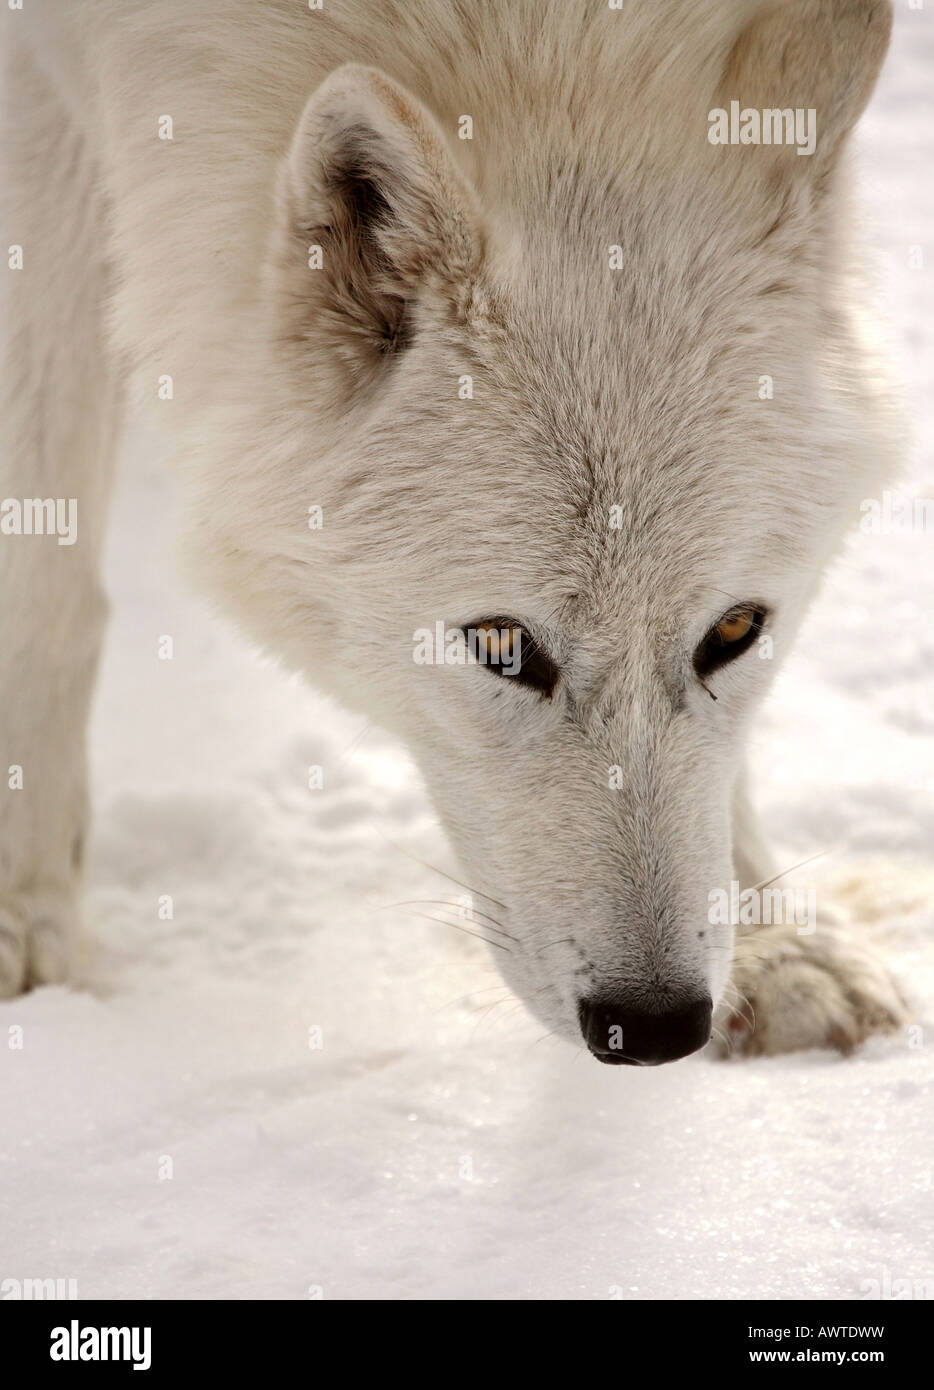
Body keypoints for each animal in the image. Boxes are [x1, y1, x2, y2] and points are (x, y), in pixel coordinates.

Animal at [1, 0, 908, 1064]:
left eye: (734, 632)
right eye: (502, 646)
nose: (653, 1028)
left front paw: (774, 944)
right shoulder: (38, 84)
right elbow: (42, 575)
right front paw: (20, 910)